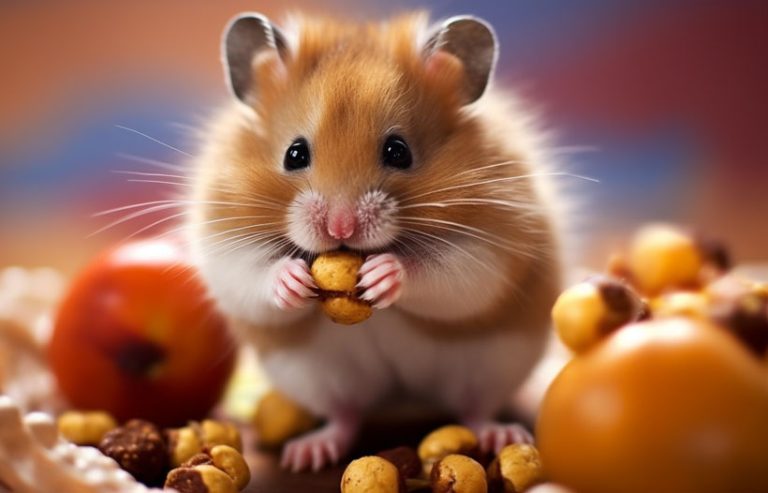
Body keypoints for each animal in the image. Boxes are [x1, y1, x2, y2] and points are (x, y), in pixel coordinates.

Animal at [188, 11, 564, 472]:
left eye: (398, 151)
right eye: (294, 154)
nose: (341, 228)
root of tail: (401, 403)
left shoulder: (489, 246)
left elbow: (447, 275)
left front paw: (383, 275)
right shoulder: (224, 241)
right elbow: (251, 273)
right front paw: (293, 280)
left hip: (491, 367)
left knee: (475, 408)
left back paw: (503, 435)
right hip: (319, 377)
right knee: (345, 415)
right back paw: (308, 454)